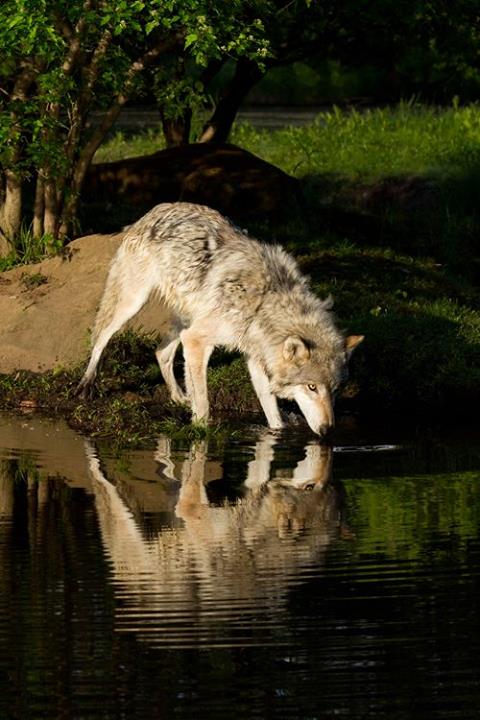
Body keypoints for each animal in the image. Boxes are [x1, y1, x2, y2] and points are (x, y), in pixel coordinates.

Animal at [77, 202, 363, 435]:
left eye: (335, 390)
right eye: (311, 387)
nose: (328, 430)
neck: (263, 303)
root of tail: (152, 212)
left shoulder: (254, 357)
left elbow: (272, 412)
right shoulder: (197, 340)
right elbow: (204, 403)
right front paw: (199, 434)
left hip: (185, 321)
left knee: (161, 352)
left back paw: (178, 397)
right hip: (132, 305)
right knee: (100, 337)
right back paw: (85, 384)